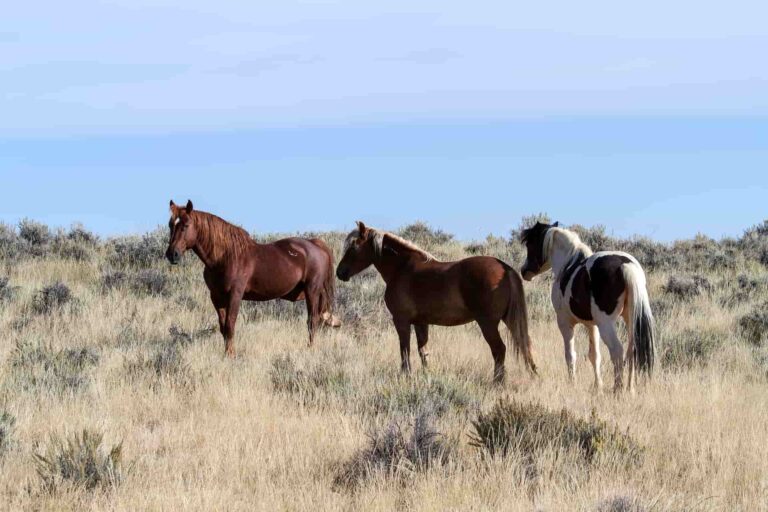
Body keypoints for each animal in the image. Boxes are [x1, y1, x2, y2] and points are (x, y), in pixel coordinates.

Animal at [165, 200, 340, 356]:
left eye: (185, 226)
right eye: (170, 225)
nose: (172, 254)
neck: (224, 257)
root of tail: (315, 244)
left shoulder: (235, 295)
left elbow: (230, 325)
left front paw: (231, 355)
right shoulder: (216, 297)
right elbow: (223, 327)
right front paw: (226, 353)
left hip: (312, 292)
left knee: (312, 321)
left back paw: (310, 349)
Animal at [335, 221, 536, 383]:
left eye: (353, 247)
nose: (340, 272)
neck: (402, 268)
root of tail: (506, 269)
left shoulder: (401, 321)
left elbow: (405, 350)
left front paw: (406, 375)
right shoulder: (421, 323)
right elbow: (423, 351)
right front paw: (427, 375)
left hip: (487, 323)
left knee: (499, 350)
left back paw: (498, 382)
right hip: (509, 320)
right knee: (524, 345)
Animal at [520, 221, 655, 393]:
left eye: (530, 244)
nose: (524, 271)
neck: (567, 265)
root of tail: (626, 265)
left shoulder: (565, 323)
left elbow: (570, 355)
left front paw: (573, 383)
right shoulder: (592, 325)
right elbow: (594, 356)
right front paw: (598, 386)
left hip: (606, 324)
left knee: (617, 351)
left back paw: (617, 389)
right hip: (630, 320)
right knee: (632, 351)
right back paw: (630, 390)